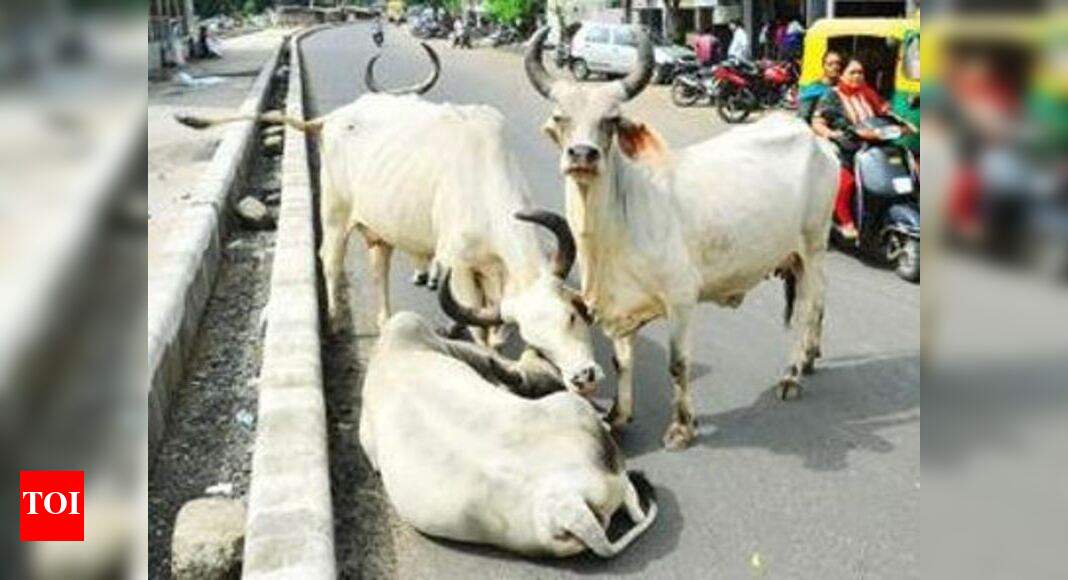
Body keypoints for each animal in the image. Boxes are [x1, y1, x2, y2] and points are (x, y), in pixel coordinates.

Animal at [176, 44, 604, 392]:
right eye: (536, 340)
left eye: (572, 317)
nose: (584, 377)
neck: (485, 176)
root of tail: (335, 117)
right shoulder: (460, 269)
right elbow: (478, 326)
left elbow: (493, 315)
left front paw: (497, 338)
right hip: (334, 210)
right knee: (330, 259)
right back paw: (334, 321)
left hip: (378, 228)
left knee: (378, 266)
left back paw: (384, 321)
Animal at [523, 27, 840, 450]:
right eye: (561, 118)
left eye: (611, 120)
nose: (582, 155)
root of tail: (814, 137)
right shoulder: (619, 308)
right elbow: (621, 361)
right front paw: (618, 415)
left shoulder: (681, 298)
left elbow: (677, 364)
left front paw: (682, 427)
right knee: (818, 302)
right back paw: (809, 356)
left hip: (813, 246)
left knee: (808, 306)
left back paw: (791, 374)